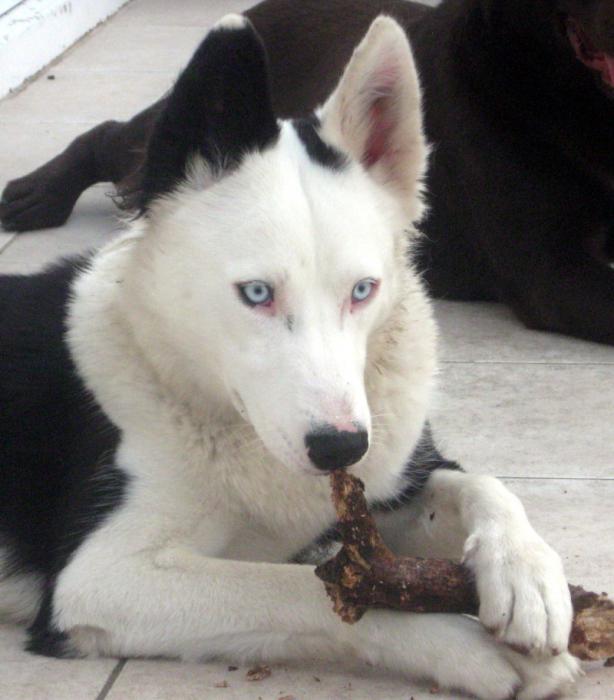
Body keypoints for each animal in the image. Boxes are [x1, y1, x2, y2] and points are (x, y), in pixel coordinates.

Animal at [0, 12, 576, 700]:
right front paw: (464, 644)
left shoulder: (387, 486)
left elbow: (479, 484)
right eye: (256, 294)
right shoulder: (99, 580)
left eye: (363, 290)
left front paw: (526, 571)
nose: (340, 449)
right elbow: (305, 588)